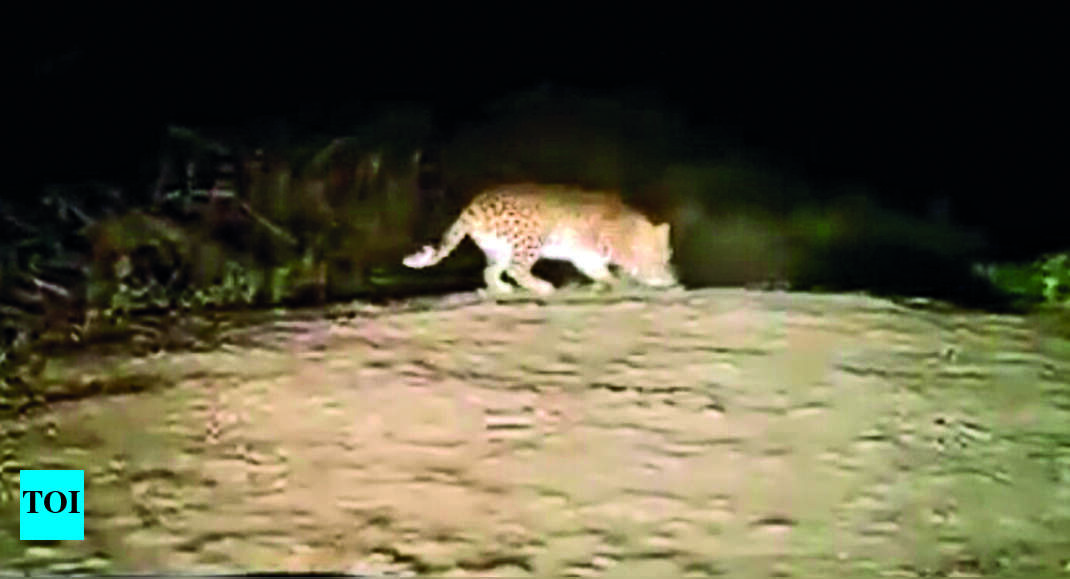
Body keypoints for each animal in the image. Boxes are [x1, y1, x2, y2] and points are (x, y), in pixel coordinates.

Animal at [402, 183, 677, 295]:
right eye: (660, 257)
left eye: (668, 257)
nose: (672, 279)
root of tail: (474, 205)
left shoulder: (584, 255)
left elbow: (598, 271)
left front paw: (608, 282)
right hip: (529, 240)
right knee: (517, 270)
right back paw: (543, 287)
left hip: (498, 250)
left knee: (490, 272)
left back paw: (501, 289)